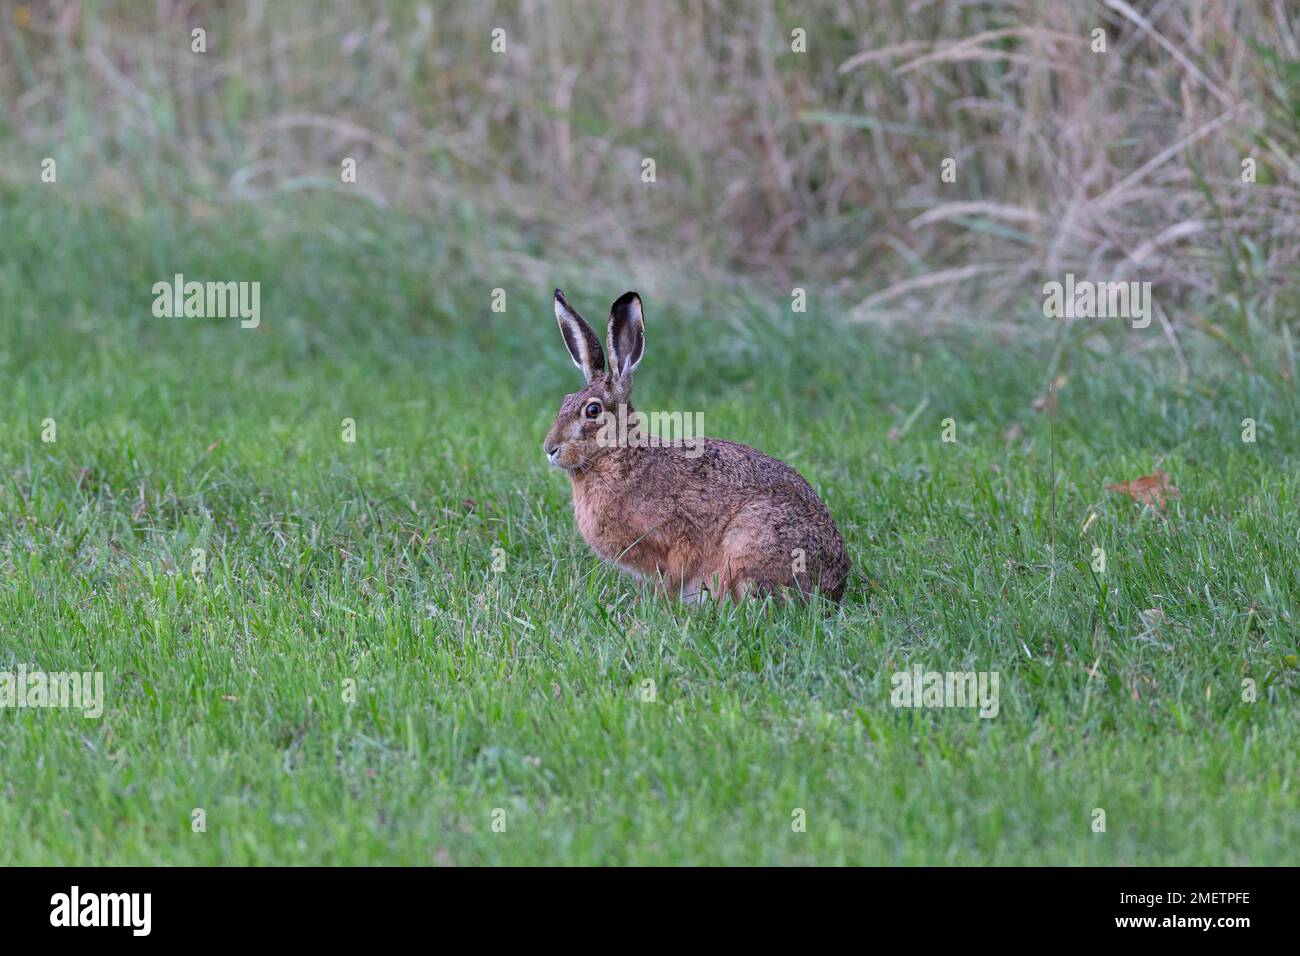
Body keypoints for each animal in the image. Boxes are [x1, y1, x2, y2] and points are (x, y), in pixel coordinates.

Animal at [543, 289, 849, 602]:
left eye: (592, 411)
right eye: (564, 401)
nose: (550, 448)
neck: (614, 454)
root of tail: (835, 585)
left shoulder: (674, 537)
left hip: (752, 538)